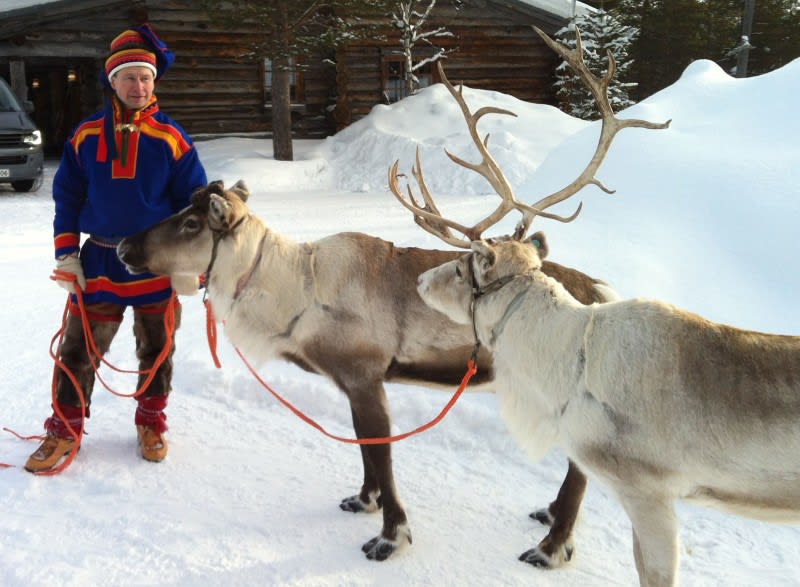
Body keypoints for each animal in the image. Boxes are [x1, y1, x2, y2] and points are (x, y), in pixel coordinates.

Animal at [115, 26, 647, 565]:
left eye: (191, 223)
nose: (121, 245)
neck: (295, 296)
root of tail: (600, 290)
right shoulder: (353, 381)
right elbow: (364, 447)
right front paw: (363, 499)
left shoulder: (365, 373)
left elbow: (382, 454)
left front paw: (391, 535)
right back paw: (549, 515)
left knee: (579, 467)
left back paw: (551, 546)